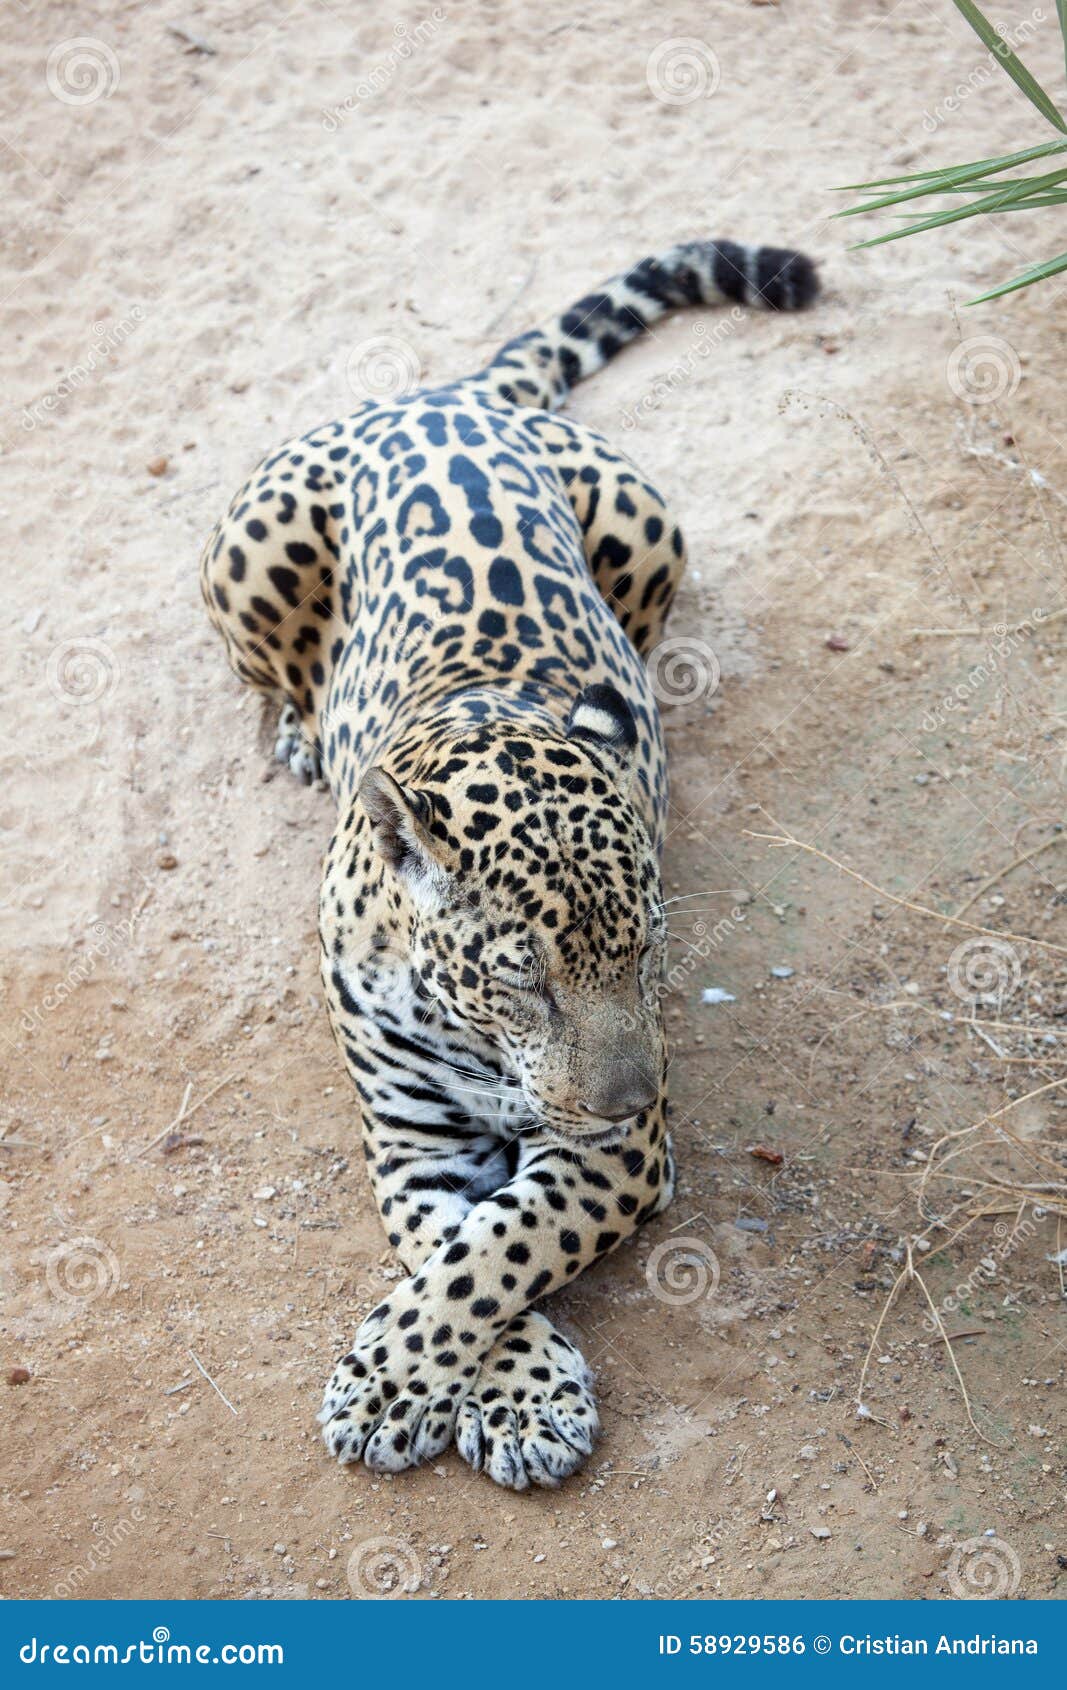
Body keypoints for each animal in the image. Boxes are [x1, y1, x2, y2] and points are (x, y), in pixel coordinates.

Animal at [200, 237, 818, 1490]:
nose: (625, 1101)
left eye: (647, 952)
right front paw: (472, 1386)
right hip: (251, 550)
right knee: (272, 673)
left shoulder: (613, 1156)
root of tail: (440, 396)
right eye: (520, 976)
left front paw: (419, 1380)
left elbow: (501, 1247)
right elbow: (463, 1253)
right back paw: (297, 734)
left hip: (645, 520)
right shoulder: (413, 1145)